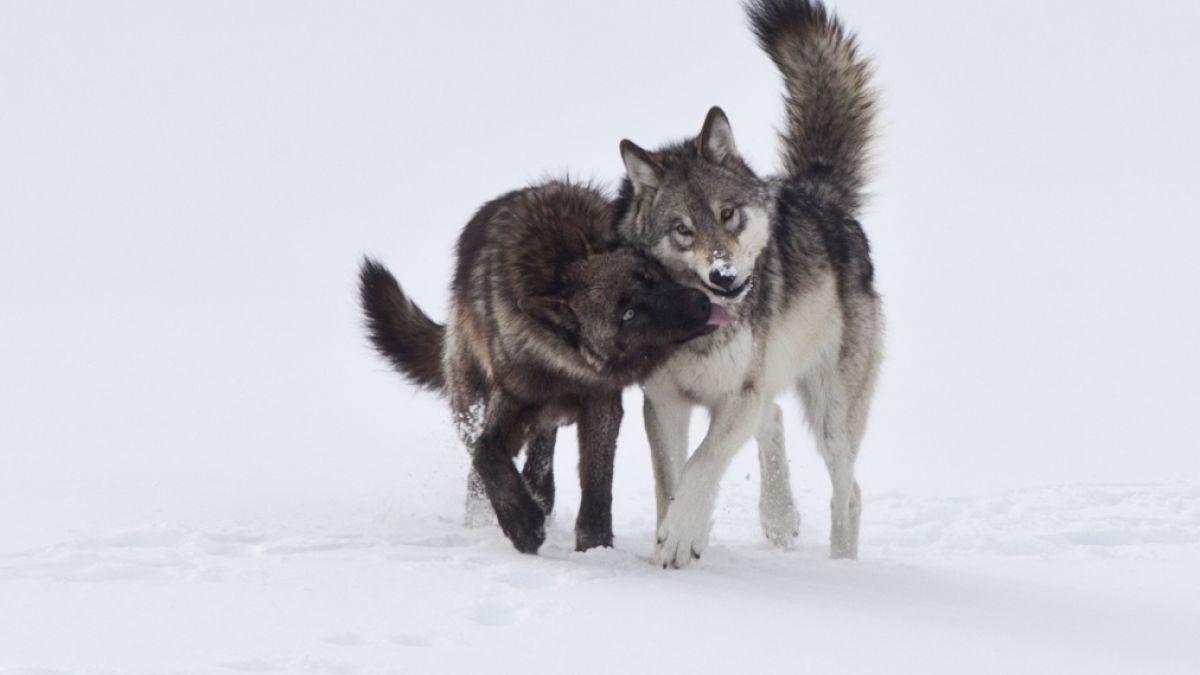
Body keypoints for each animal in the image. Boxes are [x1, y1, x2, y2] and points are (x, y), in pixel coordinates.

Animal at [359, 180, 727, 554]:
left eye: (651, 276)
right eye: (627, 314)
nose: (701, 304)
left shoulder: (602, 403)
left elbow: (597, 480)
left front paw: (594, 545)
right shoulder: (509, 399)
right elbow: (486, 453)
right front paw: (522, 524)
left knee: (540, 455)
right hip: (470, 407)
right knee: (478, 465)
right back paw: (487, 521)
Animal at [615, 0, 881, 567]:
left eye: (728, 214)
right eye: (683, 230)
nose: (725, 275)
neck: (696, 325)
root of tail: (818, 194)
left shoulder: (737, 396)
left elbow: (701, 465)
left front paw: (681, 535)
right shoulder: (663, 401)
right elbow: (671, 479)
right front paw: (669, 542)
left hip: (831, 414)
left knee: (848, 491)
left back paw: (841, 567)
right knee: (775, 418)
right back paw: (779, 520)